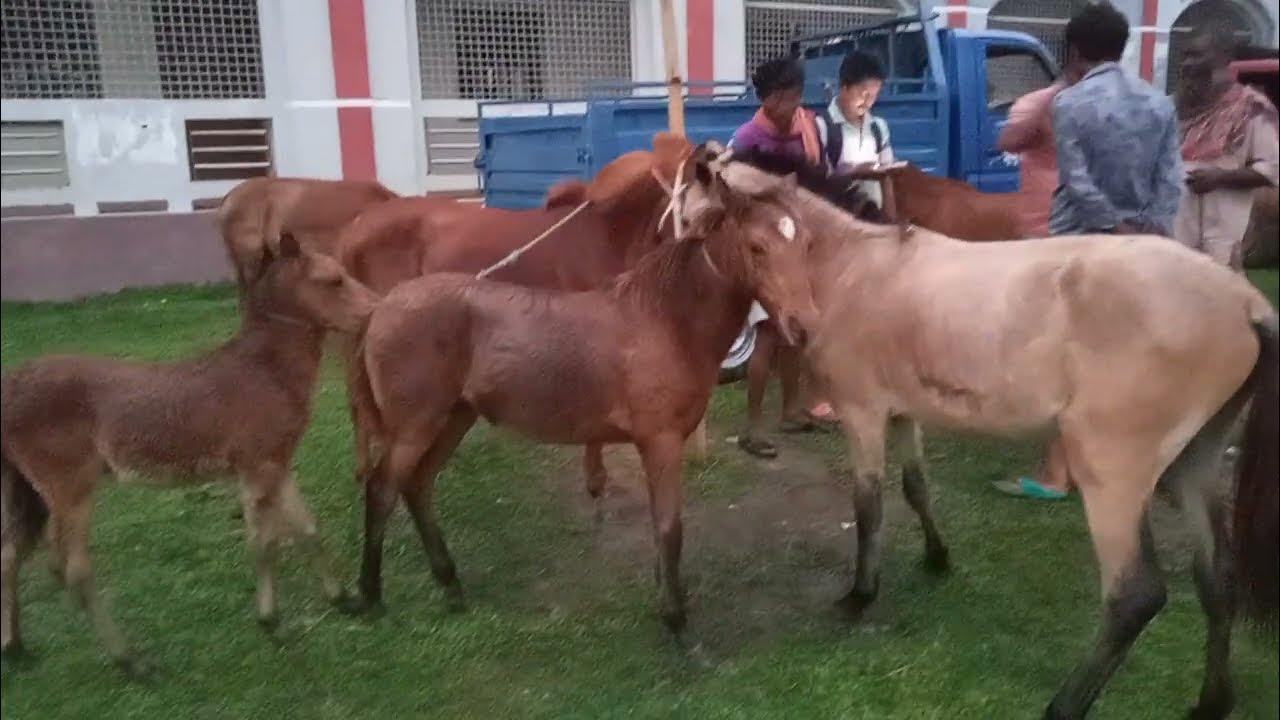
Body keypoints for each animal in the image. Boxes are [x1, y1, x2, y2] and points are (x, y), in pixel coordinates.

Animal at [0, 234, 379, 674]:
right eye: (333, 280)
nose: (376, 308)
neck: (264, 372)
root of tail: (10, 389)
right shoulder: (257, 467)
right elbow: (264, 543)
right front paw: (270, 619)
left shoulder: (278, 462)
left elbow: (308, 529)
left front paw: (344, 598)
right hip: (70, 487)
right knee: (72, 569)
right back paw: (131, 660)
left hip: (29, 490)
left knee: (10, 554)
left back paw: (15, 646)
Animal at [344, 137, 818, 632]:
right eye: (756, 246)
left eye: (806, 243)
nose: (803, 326)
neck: (663, 319)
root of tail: (382, 308)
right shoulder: (661, 441)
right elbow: (670, 527)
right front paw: (675, 617)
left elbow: (660, 524)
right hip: (414, 425)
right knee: (382, 489)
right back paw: (370, 594)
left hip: (454, 418)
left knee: (417, 486)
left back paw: (450, 585)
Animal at [726, 155, 1278, 718]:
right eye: (759, 246)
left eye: (776, 244)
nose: (795, 322)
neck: (855, 266)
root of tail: (1245, 303)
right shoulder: (903, 413)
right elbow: (916, 487)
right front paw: (937, 558)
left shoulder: (863, 414)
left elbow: (868, 506)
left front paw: (860, 596)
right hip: (1195, 460)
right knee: (1217, 577)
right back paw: (1212, 702)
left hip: (1112, 474)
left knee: (1135, 597)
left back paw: (1065, 705)